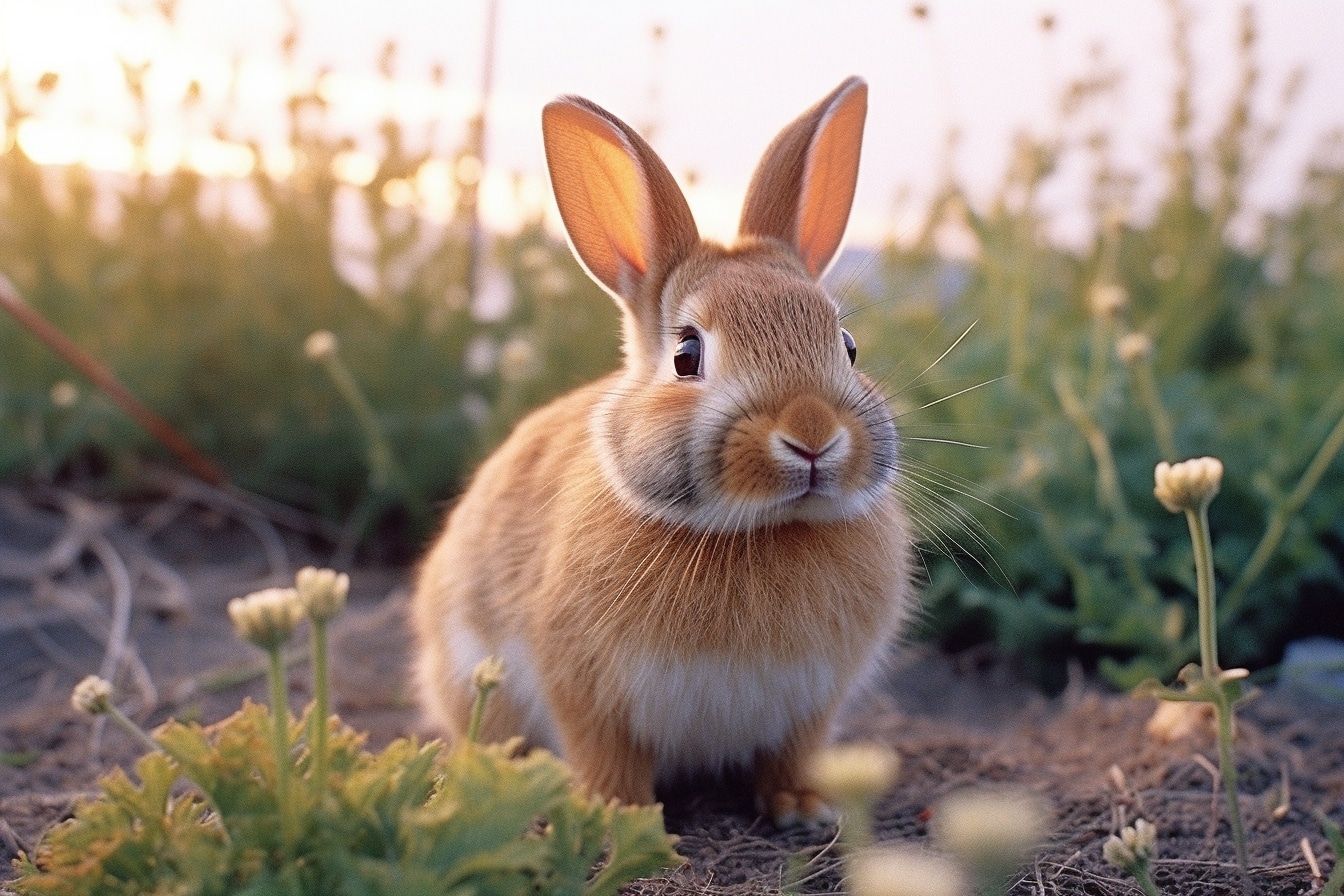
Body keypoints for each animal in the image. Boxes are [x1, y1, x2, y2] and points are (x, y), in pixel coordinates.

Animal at [412, 75, 914, 825]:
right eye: (687, 356)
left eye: (848, 347)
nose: (813, 435)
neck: (761, 529)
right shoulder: (587, 690)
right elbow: (606, 753)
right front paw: (617, 813)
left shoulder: (810, 704)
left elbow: (792, 751)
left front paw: (803, 806)